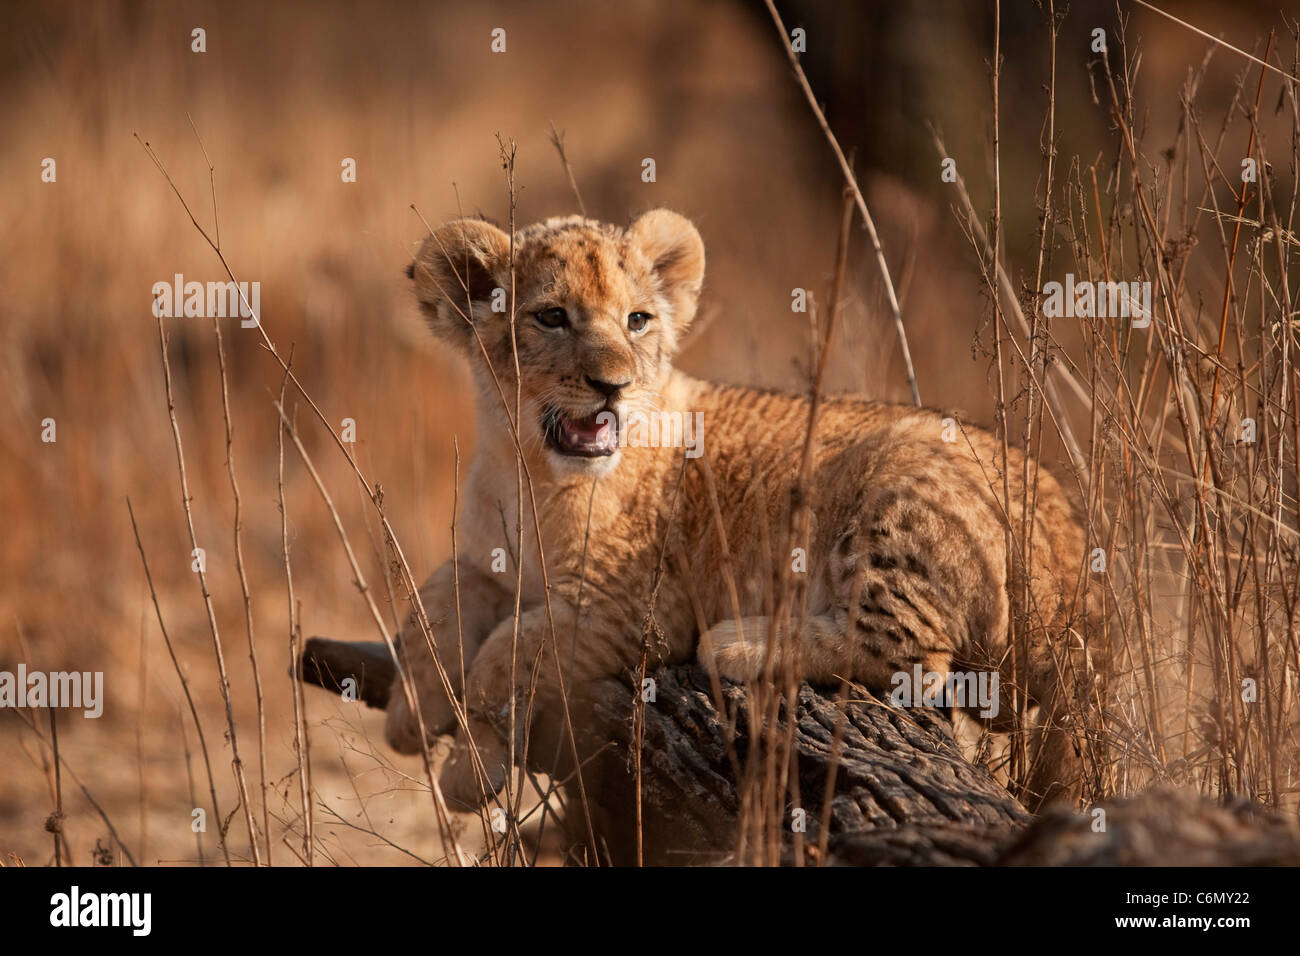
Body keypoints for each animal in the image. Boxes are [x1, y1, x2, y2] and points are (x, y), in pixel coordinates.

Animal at [385, 208, 1103, 814]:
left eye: (637, 320)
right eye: (551, 316)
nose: (612, 385)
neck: (527, 466)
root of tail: (1090, 588)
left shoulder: (635, 608)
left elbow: (508, 648)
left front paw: (466, 767)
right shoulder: (489, 562)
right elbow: (437, 594)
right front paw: (409, 709)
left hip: (898, 476)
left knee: (913, 659)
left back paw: (738, 640)